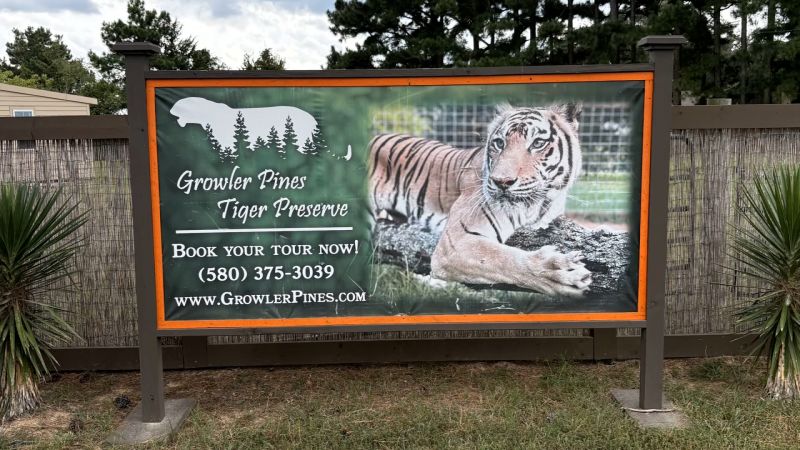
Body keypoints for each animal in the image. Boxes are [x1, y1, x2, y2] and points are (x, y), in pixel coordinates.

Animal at [368, 103, 591, 296]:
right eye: (499, 143)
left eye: (538, 143)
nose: (501, 182)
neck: (540, 203)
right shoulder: (456, 243)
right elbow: (503, 258)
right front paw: (558, 271)